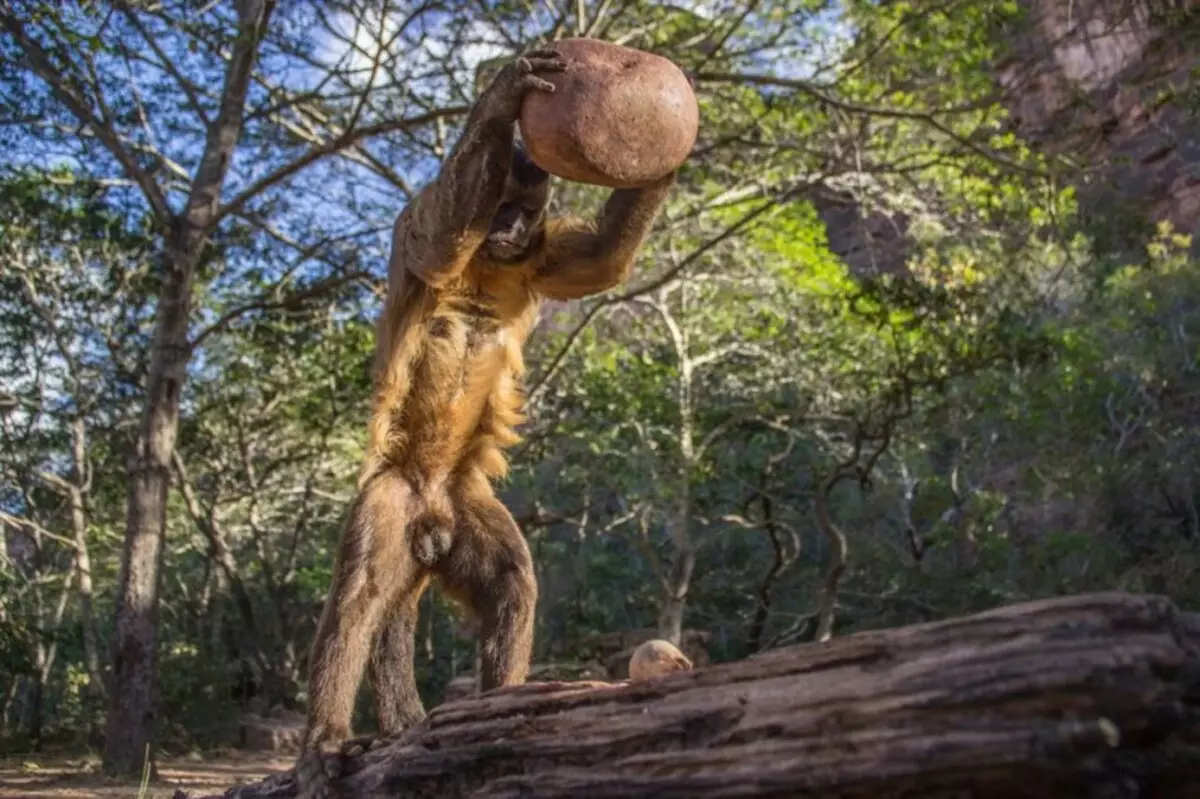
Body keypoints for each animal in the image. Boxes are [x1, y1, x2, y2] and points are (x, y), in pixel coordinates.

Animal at [294, 46, 676, 791]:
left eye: (522, 211)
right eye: (498, 208)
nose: (508, 229)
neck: (493, 254)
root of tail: (431, 511)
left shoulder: (539, 253)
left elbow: (603, 260)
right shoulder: (420, 213)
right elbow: (442, 241)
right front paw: (500, 100)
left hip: (464, 500)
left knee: (510, 586)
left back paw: (500, 706)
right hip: (391, 496)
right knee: (360, 595)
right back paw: (324, 742)